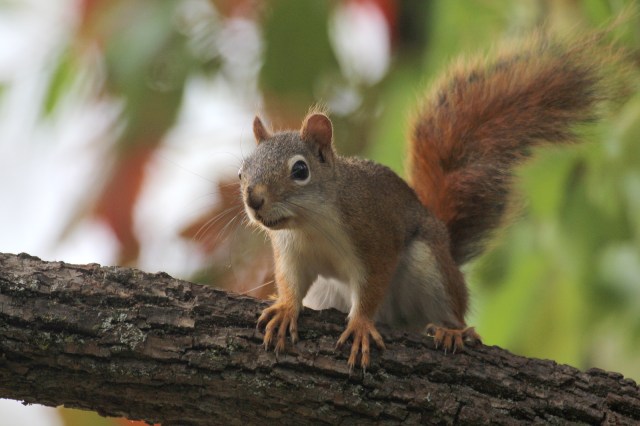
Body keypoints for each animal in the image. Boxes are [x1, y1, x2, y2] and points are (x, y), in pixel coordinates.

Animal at [238, 30, 625, 369]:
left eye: (300, 170)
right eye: (243, 170)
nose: (253, 199)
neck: (311, 224)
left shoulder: (375, 236)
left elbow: (372, 285)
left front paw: (360, 325)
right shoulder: (292, 252)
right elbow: (291, 281)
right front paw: (285, 307)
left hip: (430, 265)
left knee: (453, 311)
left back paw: (453, 332)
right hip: (330, 291)